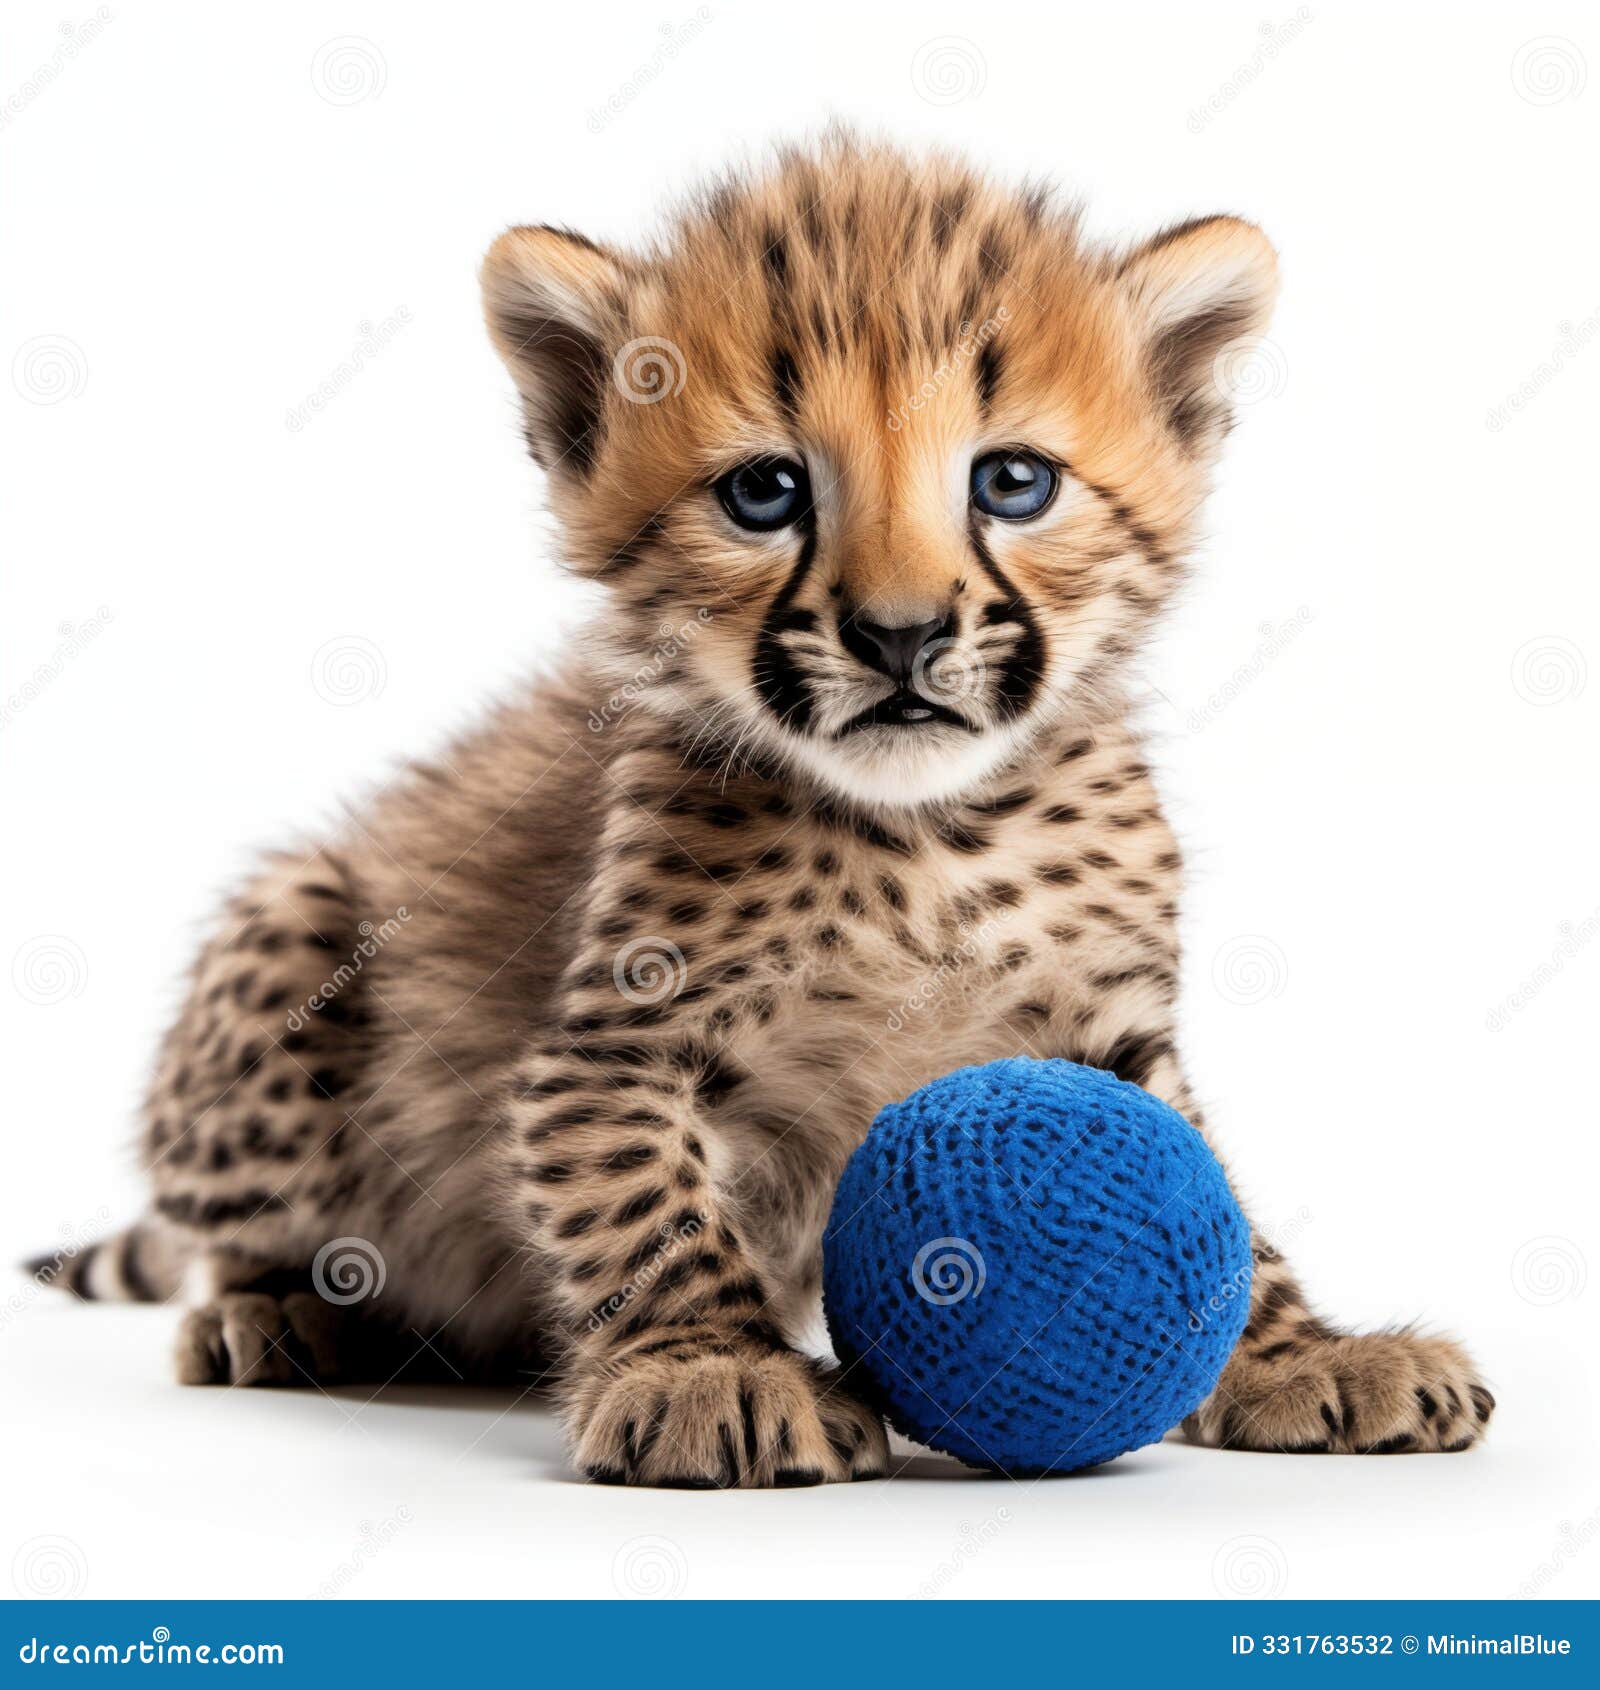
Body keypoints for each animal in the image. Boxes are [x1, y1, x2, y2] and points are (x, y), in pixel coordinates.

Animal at [32, 132, 1494, 1484]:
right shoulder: (607, 1045)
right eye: (765, 491)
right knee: (242, 1235)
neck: (928, 838)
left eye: (1011, 482)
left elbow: (1219, 1202)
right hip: (294, 937)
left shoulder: (1112, 1031)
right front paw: (711, 1369)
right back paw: (278, 1313)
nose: (900, 634)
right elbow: (646, 1205)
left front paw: (1312, 1353)